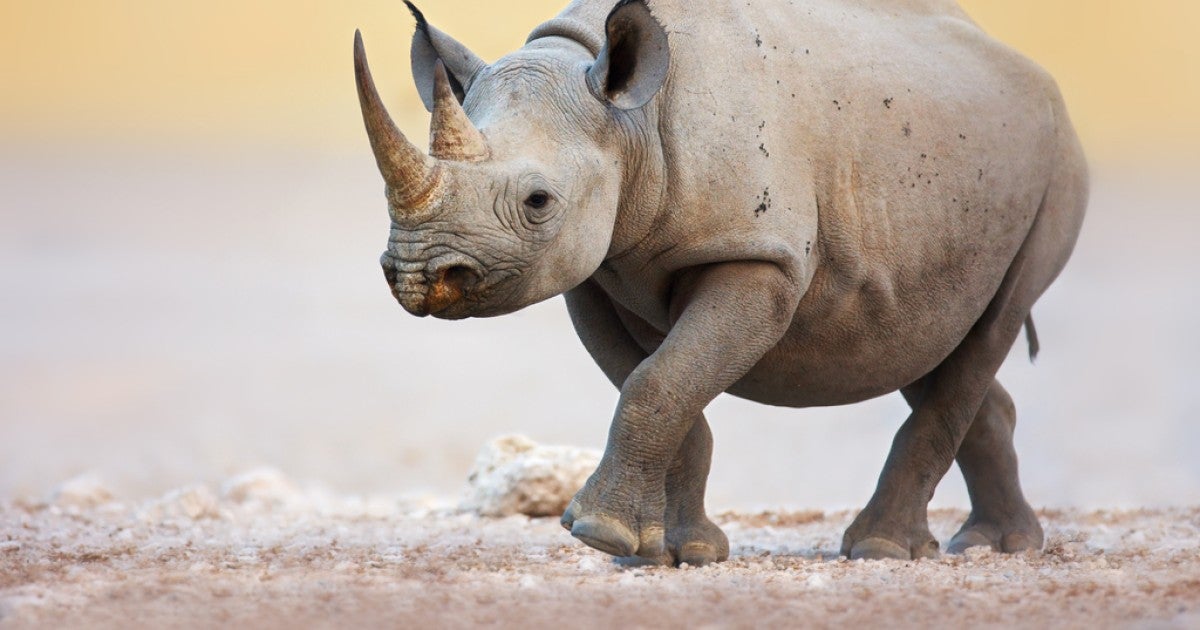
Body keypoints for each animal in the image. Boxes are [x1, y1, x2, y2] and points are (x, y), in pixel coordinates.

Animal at [353, 0, 1088, 566]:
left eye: (538, 202)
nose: (419, 275)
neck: (628, 120)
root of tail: (1031, 72)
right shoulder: (594, 274)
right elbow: (660, 383)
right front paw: (670, 552)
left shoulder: (759, 259)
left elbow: (660, 381)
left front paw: (598, 533)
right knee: (925, 338)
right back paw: (995, 545)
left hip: (1056, 164)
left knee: (993, 323)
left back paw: (883, 550)